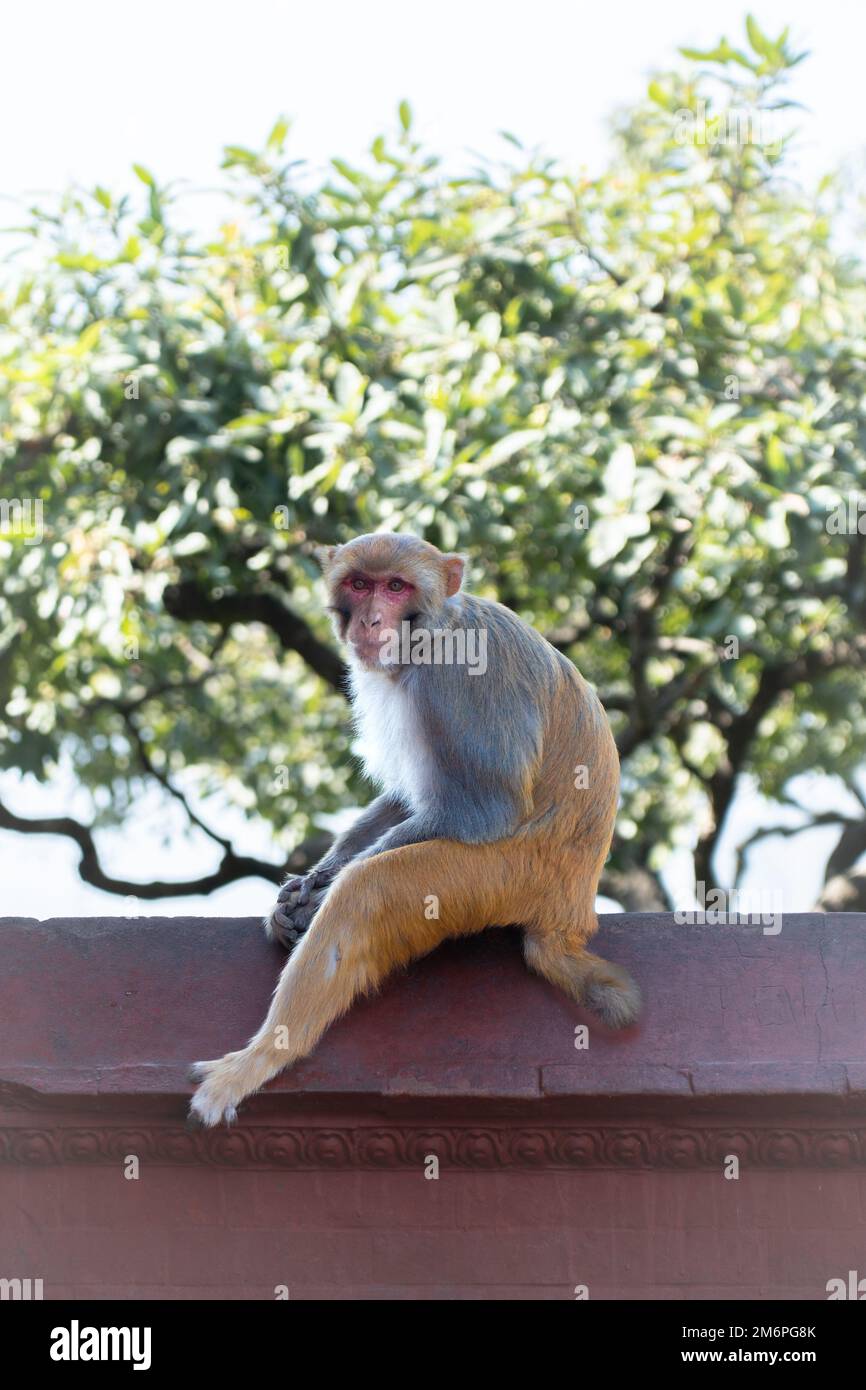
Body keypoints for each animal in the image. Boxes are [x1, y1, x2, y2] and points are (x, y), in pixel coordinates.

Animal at [189, 532, 639, 1126]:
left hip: (502, 877)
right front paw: (305, 885)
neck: (432, 632)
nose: (372, 619)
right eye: (361, 584)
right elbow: (408, 797)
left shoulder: (461, 677)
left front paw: (323, 891)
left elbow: (488, 807)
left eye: (397, 587)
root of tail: (572, 909)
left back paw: (264, 1056)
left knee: (371, 892)